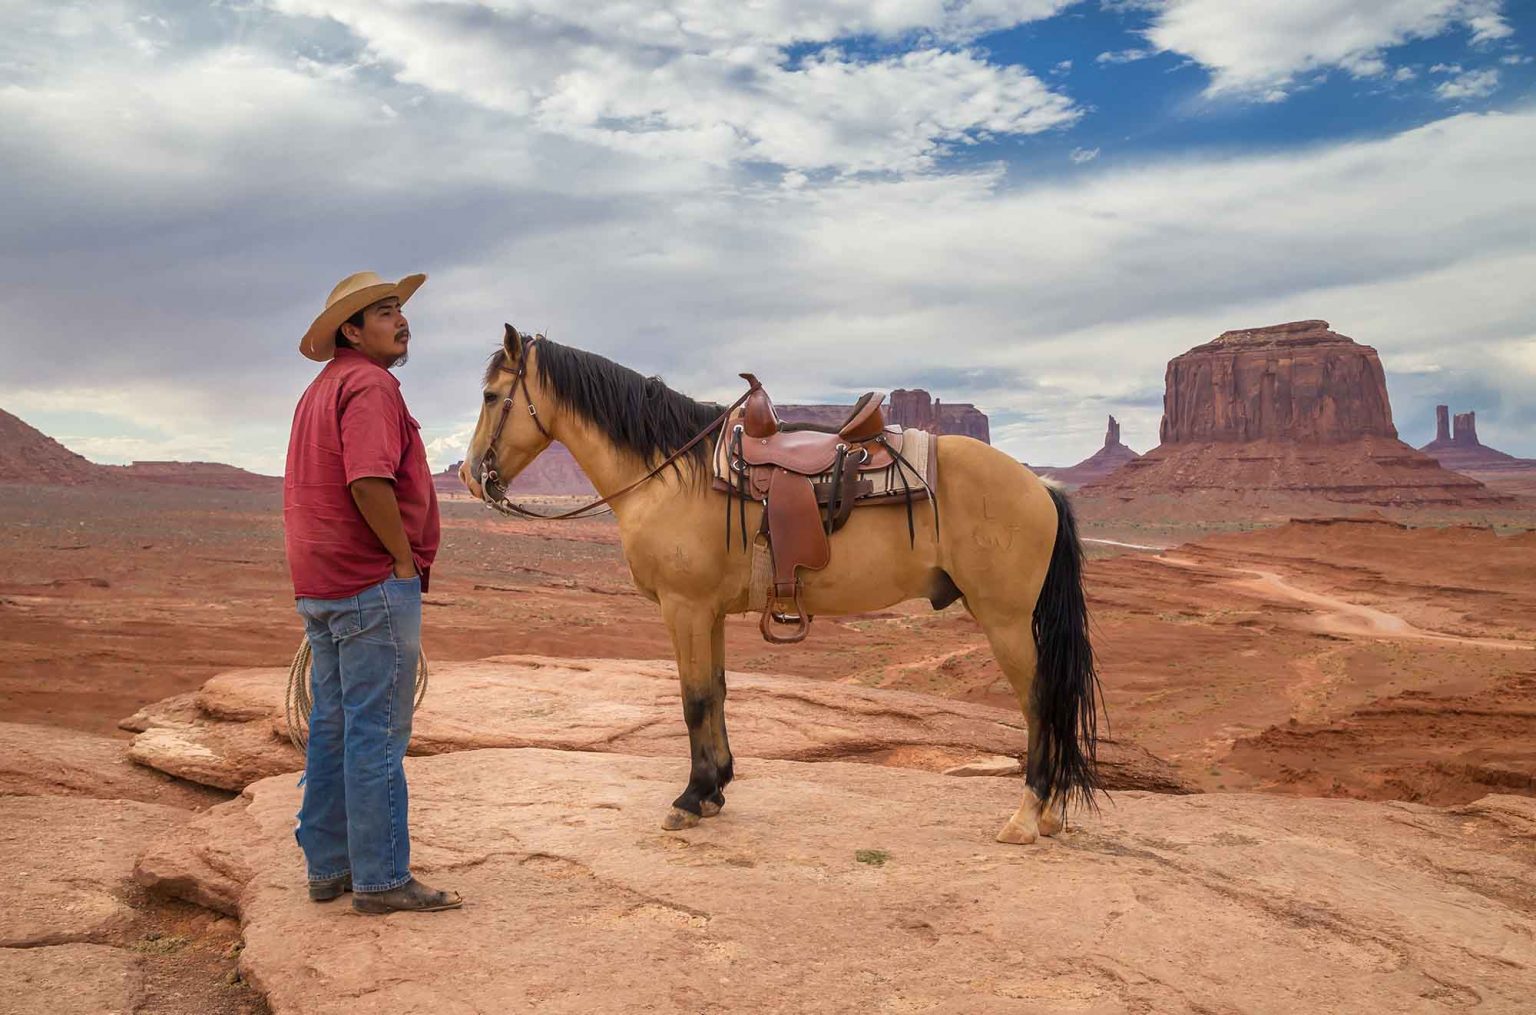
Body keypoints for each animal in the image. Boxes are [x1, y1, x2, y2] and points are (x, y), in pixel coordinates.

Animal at [460, 325, 1101, 844]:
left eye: (492, 396)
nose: (469, 475)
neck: (672, 473)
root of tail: (1042, 485)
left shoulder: (684, 607)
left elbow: (693, 699)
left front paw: (689, 799)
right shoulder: (710, 612)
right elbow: (717, 691)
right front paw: (716, 789)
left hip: (1005, 618)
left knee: (1039, 699)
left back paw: (1027, 816)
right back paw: (1049, 814)